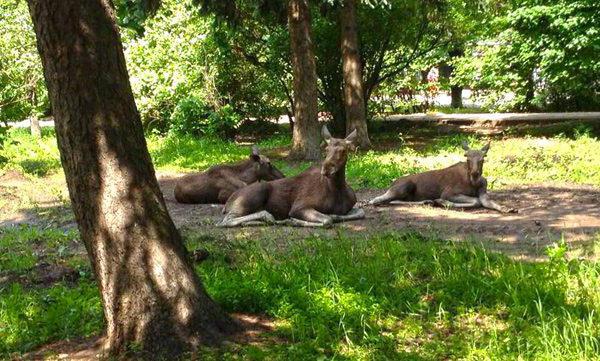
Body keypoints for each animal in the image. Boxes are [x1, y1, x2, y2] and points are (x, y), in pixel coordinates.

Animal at [217, 126, 366, 226]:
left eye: (343, 150)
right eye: (327, 149)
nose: (326, 169)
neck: (337, 190)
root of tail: (227, 204)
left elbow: (360, 212)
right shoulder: (299, 206)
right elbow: (327, 220)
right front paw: (294, 221)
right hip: (256, 192)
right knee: (225, 221)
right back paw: (268, 217)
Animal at [370, 141, 516, 212]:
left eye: (483, 158)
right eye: (467, 158)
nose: (475, 174)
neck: (472, 183)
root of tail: (392, 183)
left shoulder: (483, 192)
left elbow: (486, 202)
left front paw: (507, 208)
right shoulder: (448, 192)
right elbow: (476, 201)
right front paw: (442, 202)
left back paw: (427, 201)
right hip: (404, 186)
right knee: (376, 200)